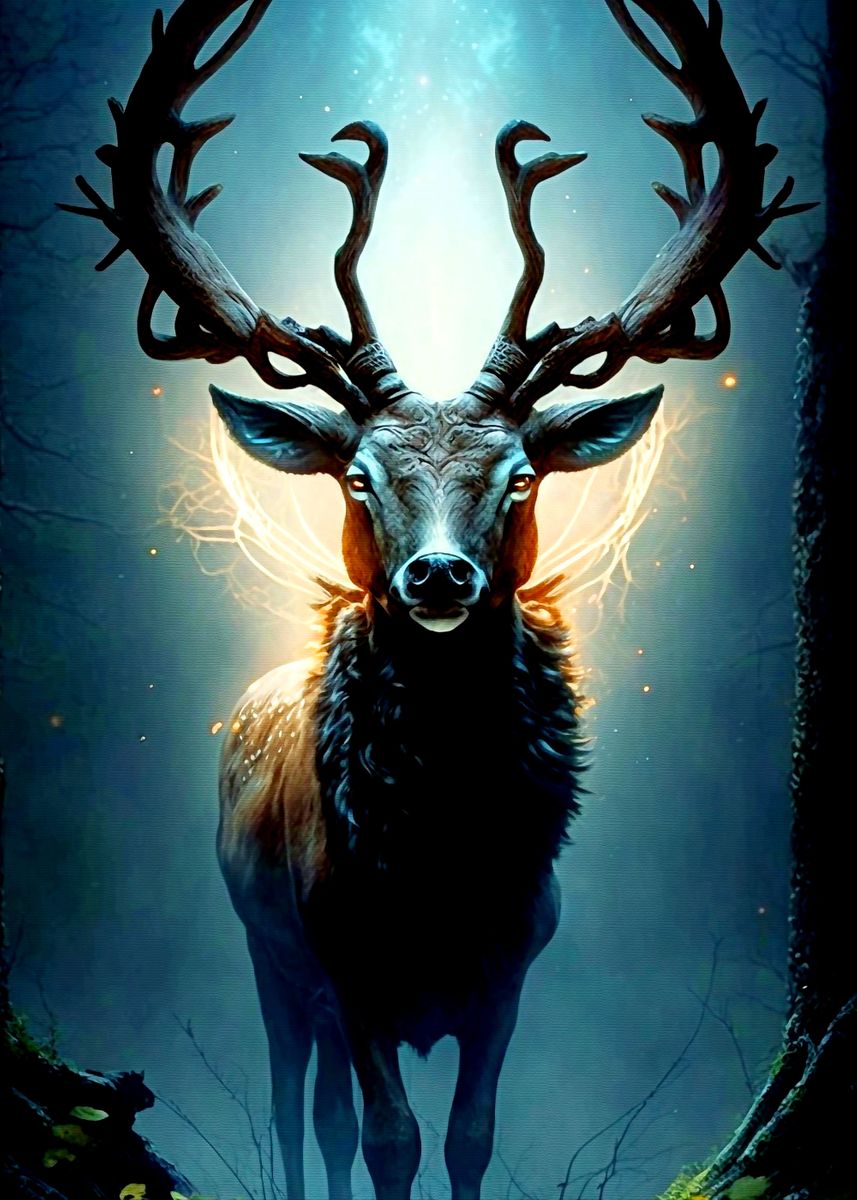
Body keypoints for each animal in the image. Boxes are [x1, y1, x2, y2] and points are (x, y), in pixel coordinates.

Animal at [61, 1, 810, 1196]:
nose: (441, 575)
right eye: (359, 477)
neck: (438, 876)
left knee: (320, 1108)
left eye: (521, 476)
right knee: (295, 1104)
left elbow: (467, 1137)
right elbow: (386, 1138)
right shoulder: (342, 957)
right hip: (265, 951)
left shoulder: (511, 965)